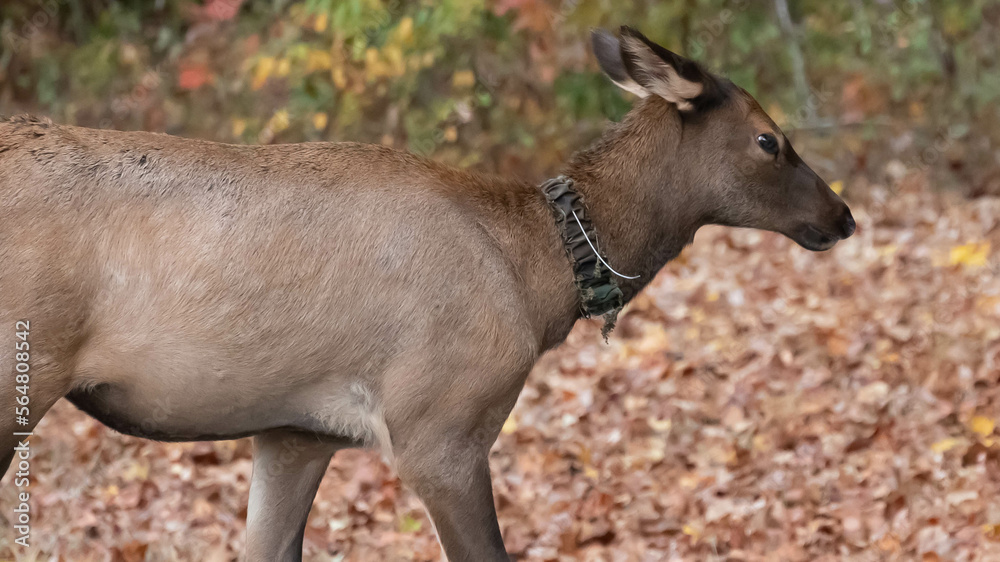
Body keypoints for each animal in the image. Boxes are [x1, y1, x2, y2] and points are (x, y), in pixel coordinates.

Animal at [0, 26, 854, 561]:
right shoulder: (438, 426)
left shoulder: (297, 431)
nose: (841, 216)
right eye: (770, 139)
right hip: (23, 371)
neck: (537, 272)